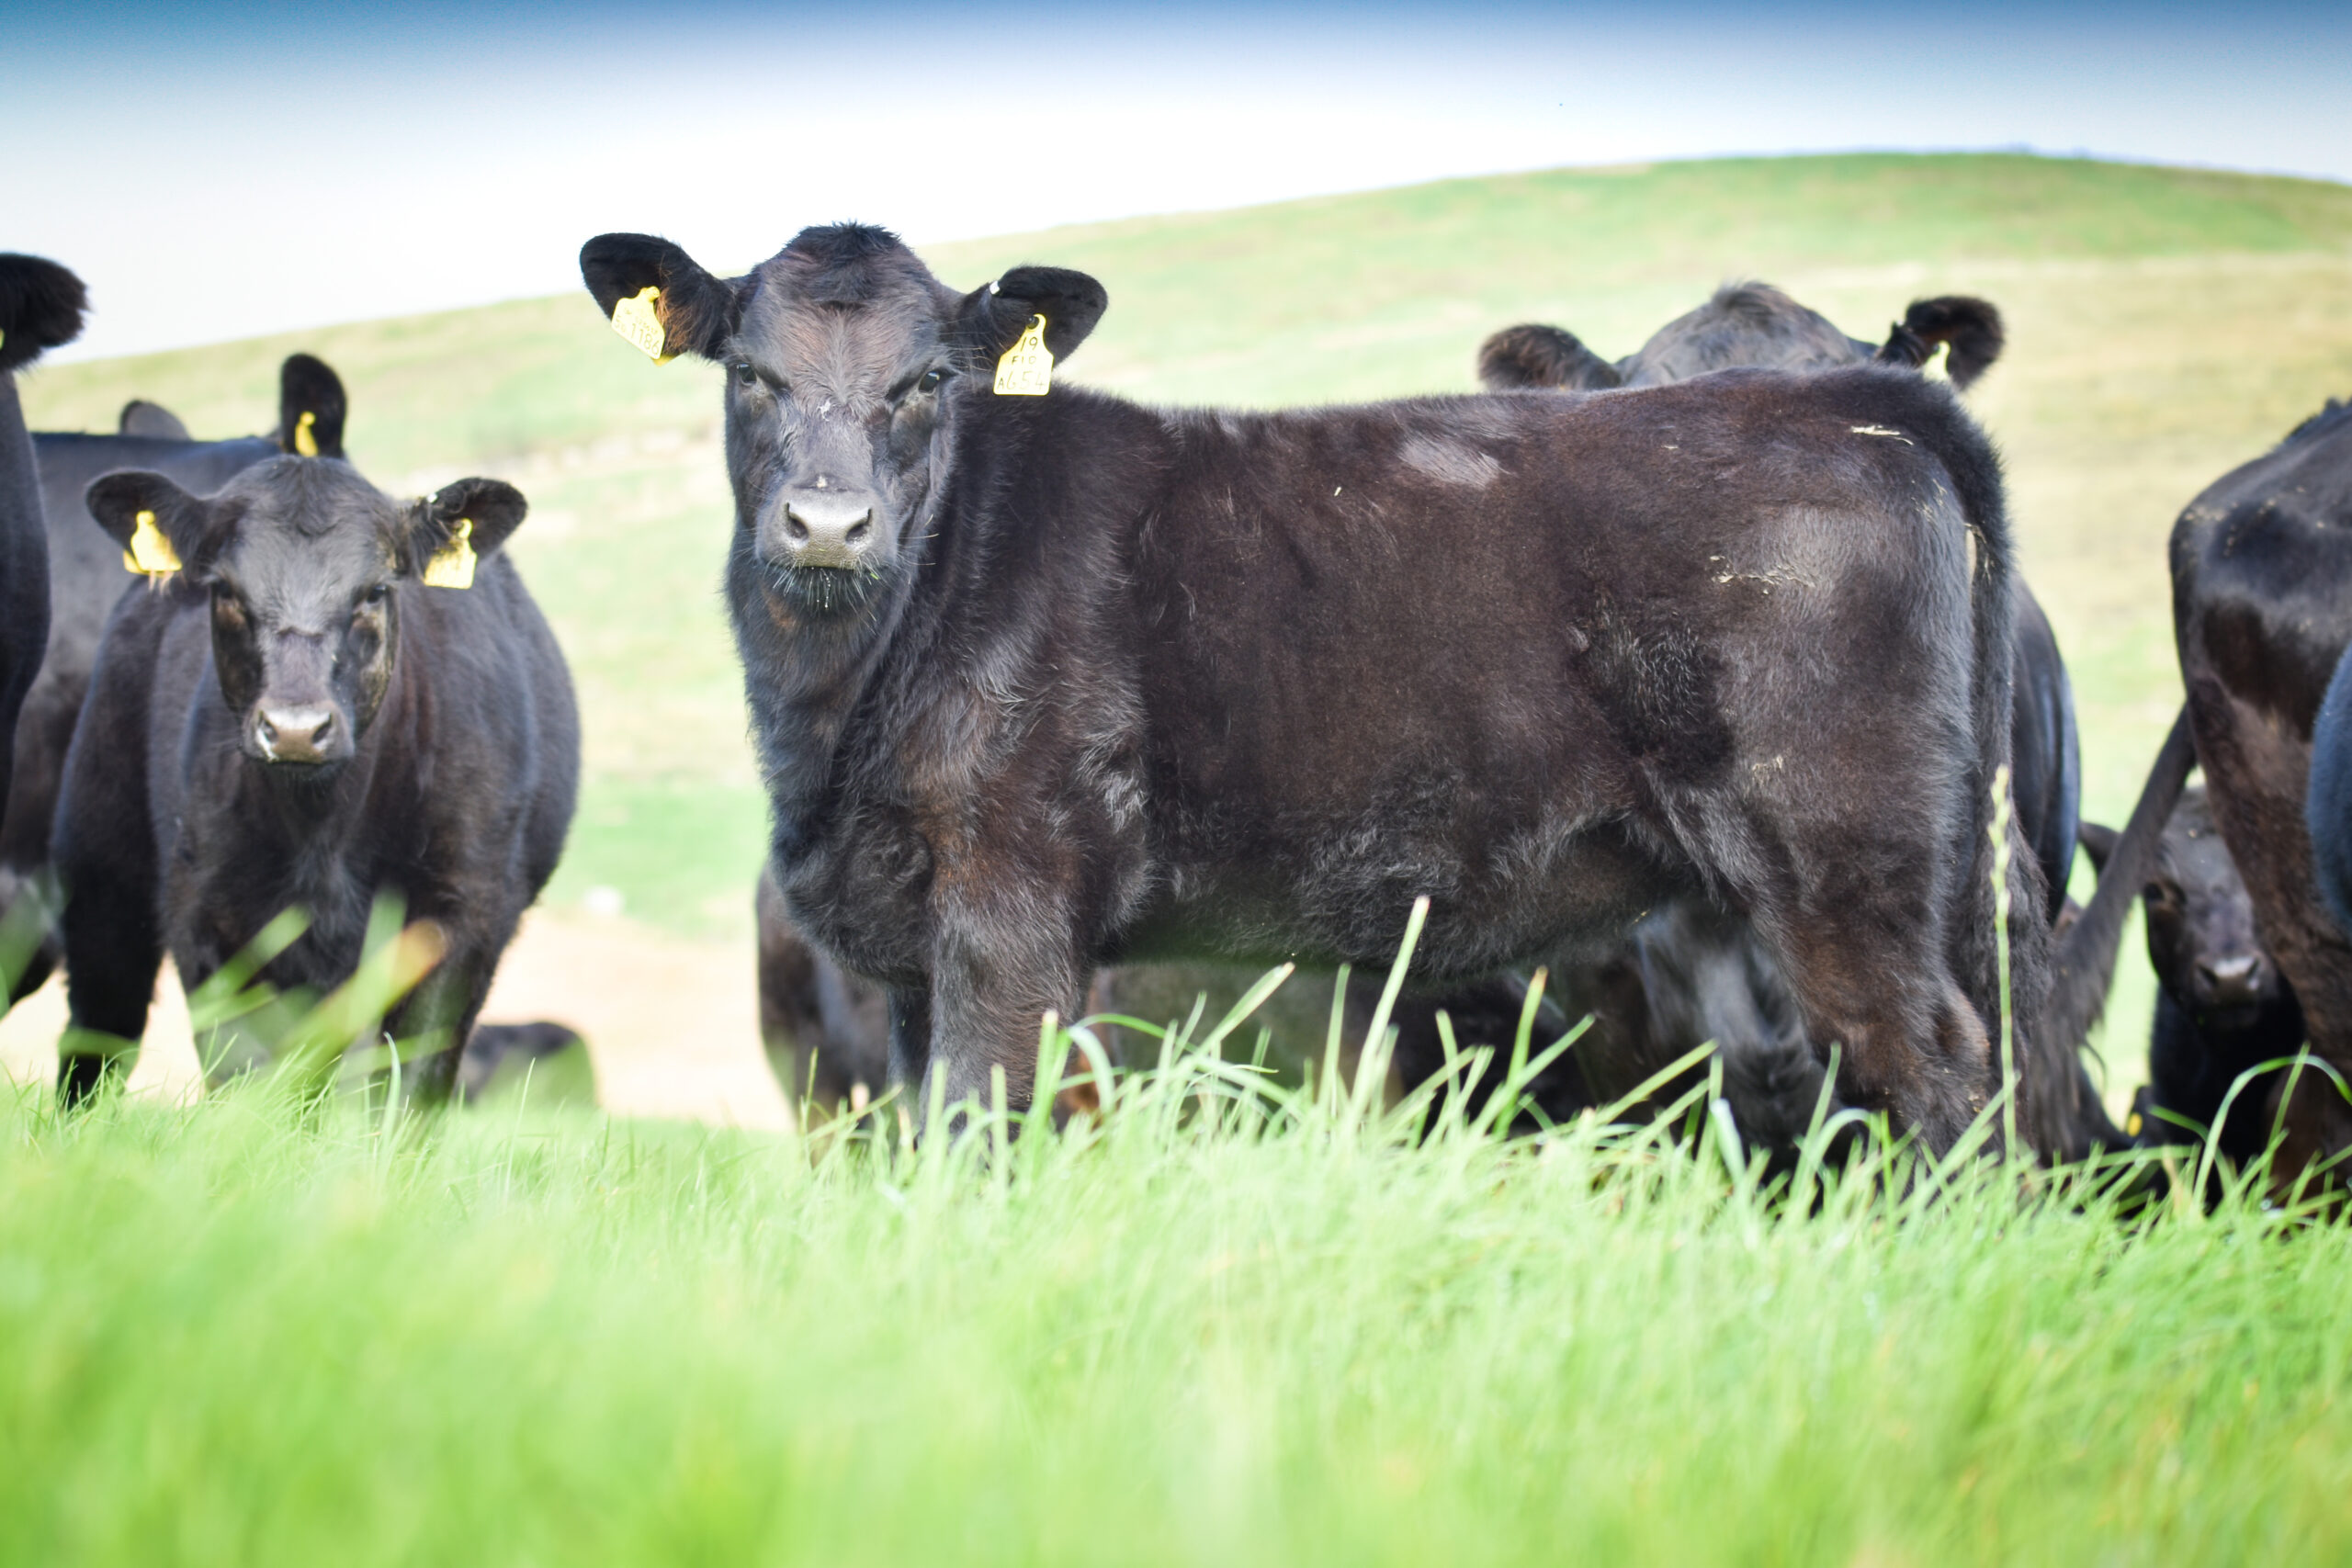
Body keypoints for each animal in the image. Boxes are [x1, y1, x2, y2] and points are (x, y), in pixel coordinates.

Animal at [51, 456, 578, 1103]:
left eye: (375, 590)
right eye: (225, 590)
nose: (296, 729)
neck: (325, 835)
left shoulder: (463, 913)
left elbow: (411, 1079)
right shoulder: (205, 916)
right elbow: (247, 1074)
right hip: (102, 869)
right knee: (99, 1031)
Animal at [582, 222, 2059, 1156]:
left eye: (928, 379)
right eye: (749, 372)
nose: (828, 526)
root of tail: (1854, 406)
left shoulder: (1011, 899)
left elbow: (982, 1126)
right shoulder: (905, 949)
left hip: (1845, 860)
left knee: (1938, 1068)